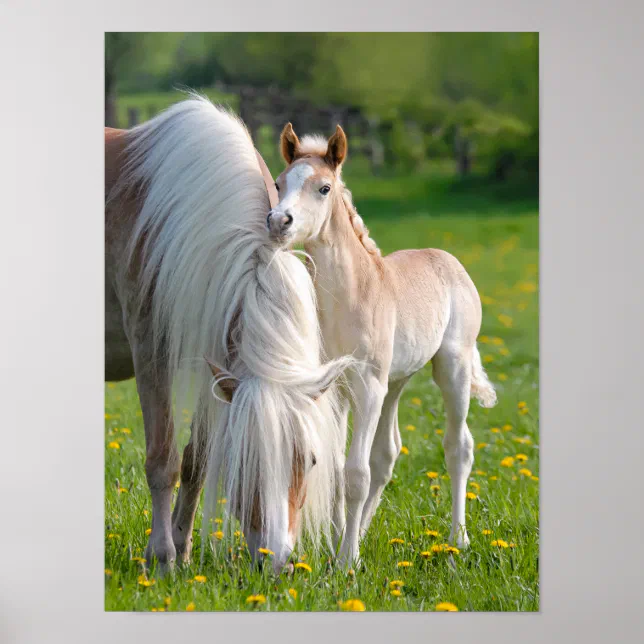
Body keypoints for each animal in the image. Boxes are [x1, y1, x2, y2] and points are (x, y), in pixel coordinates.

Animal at [105, 96, 352, 575]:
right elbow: (163, 460)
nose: (277, 563)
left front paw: (180, 549)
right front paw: (162, 558)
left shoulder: (215, 358)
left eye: (311, 459)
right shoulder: (151, 350)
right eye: (246, 460)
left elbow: (196, 461)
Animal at [266, 123, 497, 566]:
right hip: (395, 382)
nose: (278, 221)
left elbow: (356, 472)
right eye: (279, 183)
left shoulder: (368, 384)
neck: (350, 296)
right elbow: (340, 468)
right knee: (387, 453)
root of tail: (447, 259)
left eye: (323, 188)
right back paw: (362, 532)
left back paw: (458, 539)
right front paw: (339, 544)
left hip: (450, 368)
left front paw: (346, 563)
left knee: (458, 447)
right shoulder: (335, 389)